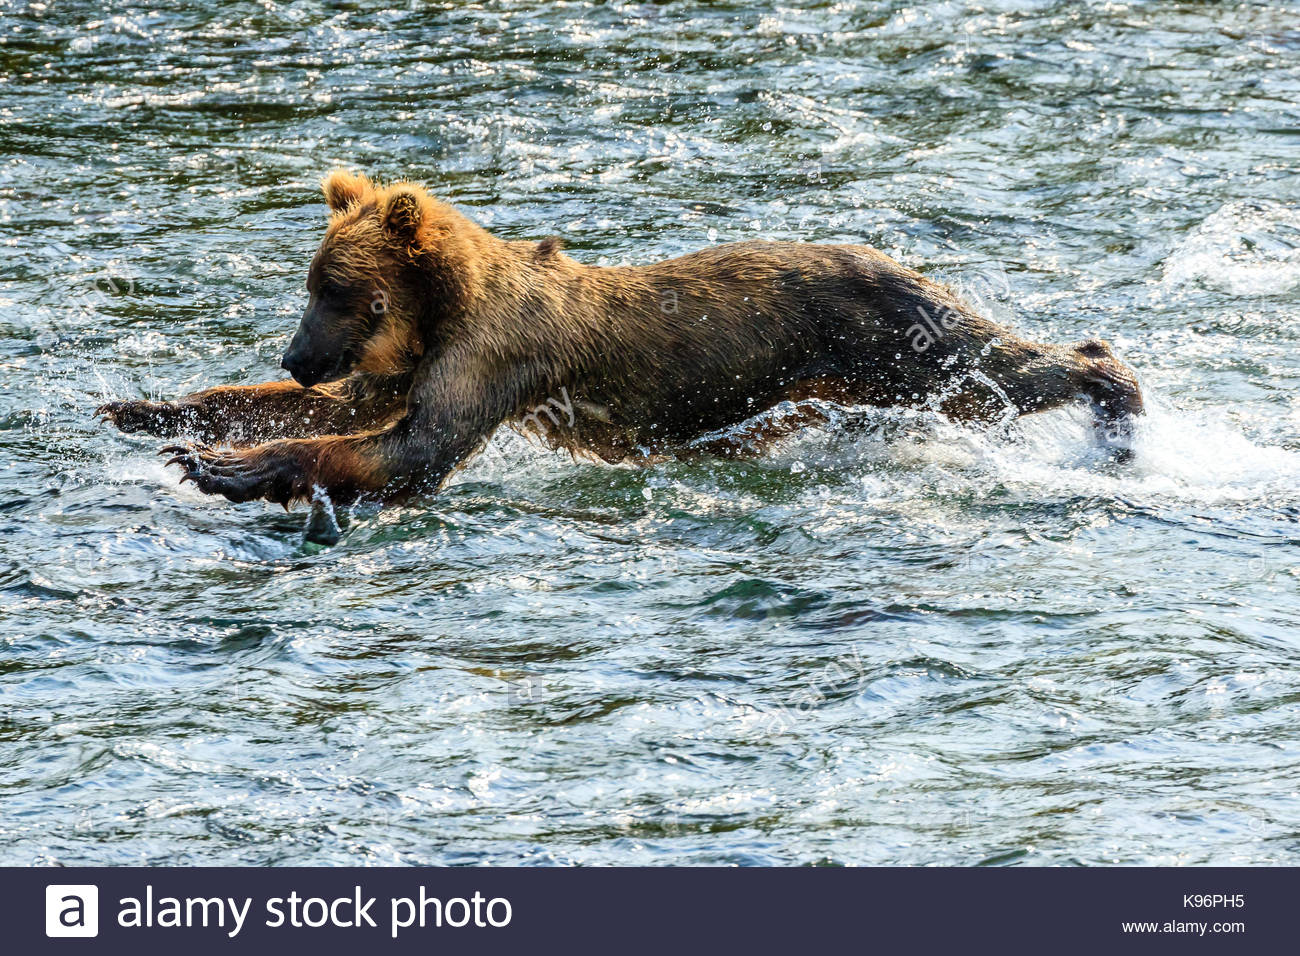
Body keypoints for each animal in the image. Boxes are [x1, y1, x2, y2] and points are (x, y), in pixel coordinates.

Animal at [98, 170, 1144, 507]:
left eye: (336, 291)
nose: (296, 353)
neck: (441, 312)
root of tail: (893, 253)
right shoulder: (413, 364)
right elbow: (338, 412)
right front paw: (154, 411)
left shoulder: (496, 356)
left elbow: (408, 449)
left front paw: (232, 469)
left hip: (893, 345)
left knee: (1003, 370)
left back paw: (1118, 403)